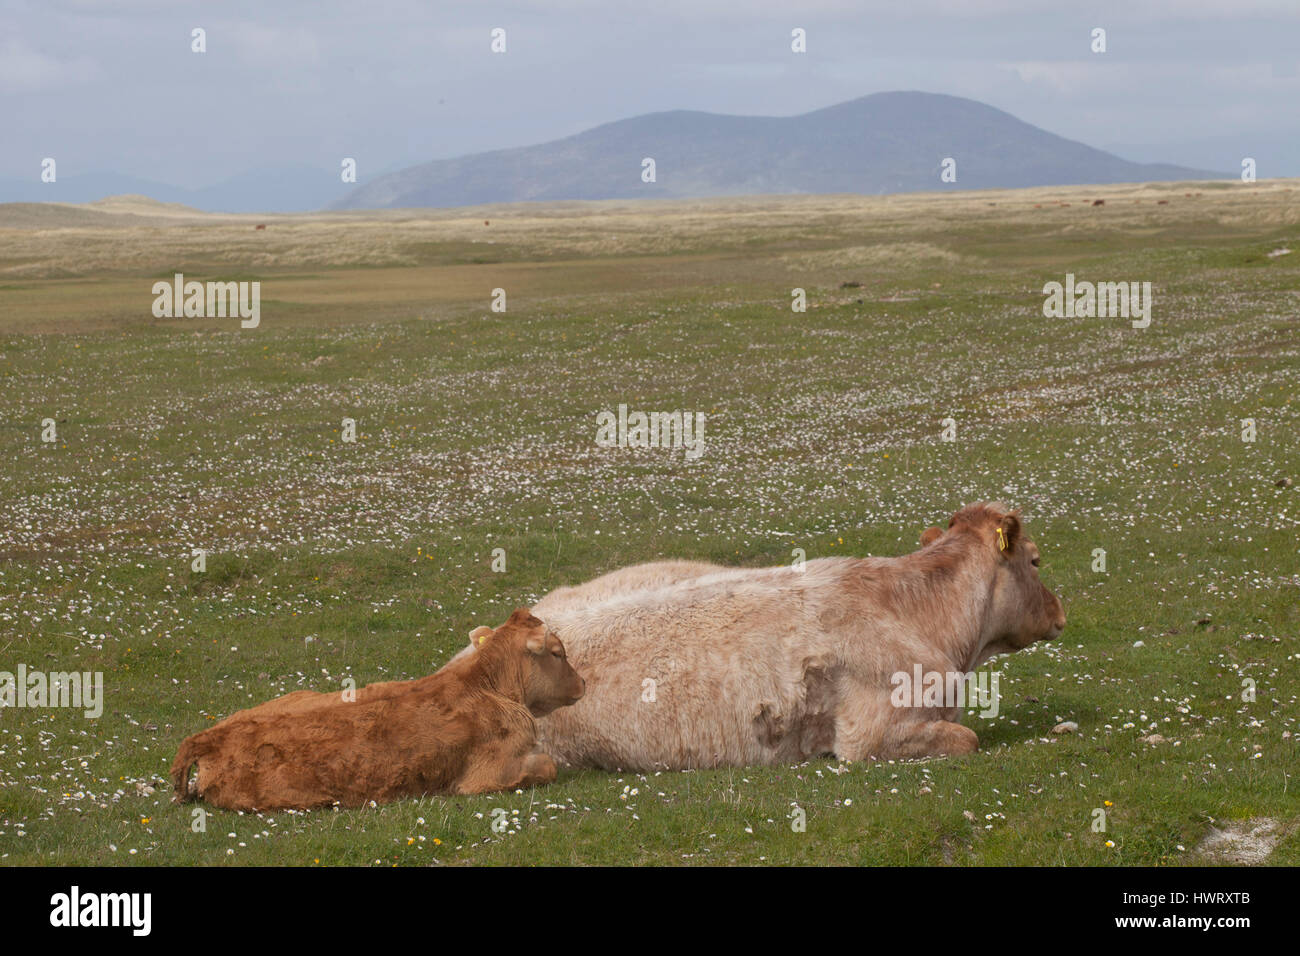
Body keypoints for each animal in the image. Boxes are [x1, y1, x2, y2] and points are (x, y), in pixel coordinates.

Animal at [170, 608, 585, 810]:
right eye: (557, 652)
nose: (583, 683)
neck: (486, 685)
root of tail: (209, 736)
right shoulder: (488, 776)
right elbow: (547, 766)